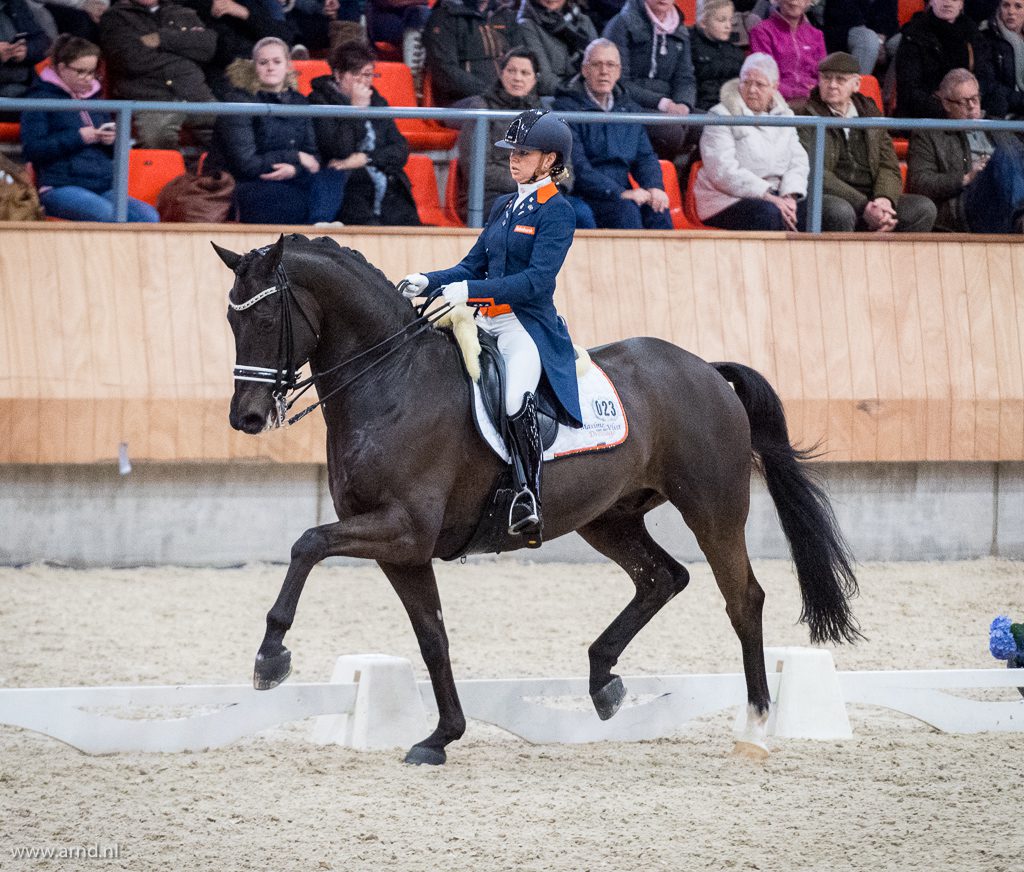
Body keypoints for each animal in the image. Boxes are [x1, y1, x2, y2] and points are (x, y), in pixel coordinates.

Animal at [213, 233, 860, 765]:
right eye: (229, 318)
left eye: (266, 317)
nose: (246, 418)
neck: (390, 381)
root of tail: (704, 368)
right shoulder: (403, 548)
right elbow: (433, 637)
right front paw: (441, 737)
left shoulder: (403, 527)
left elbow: (307, 543)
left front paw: (270, 658)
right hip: (608, 518)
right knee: (662, 578)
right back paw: (603, 682)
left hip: (712, 508)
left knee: (742, 599)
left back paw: (754, 728)